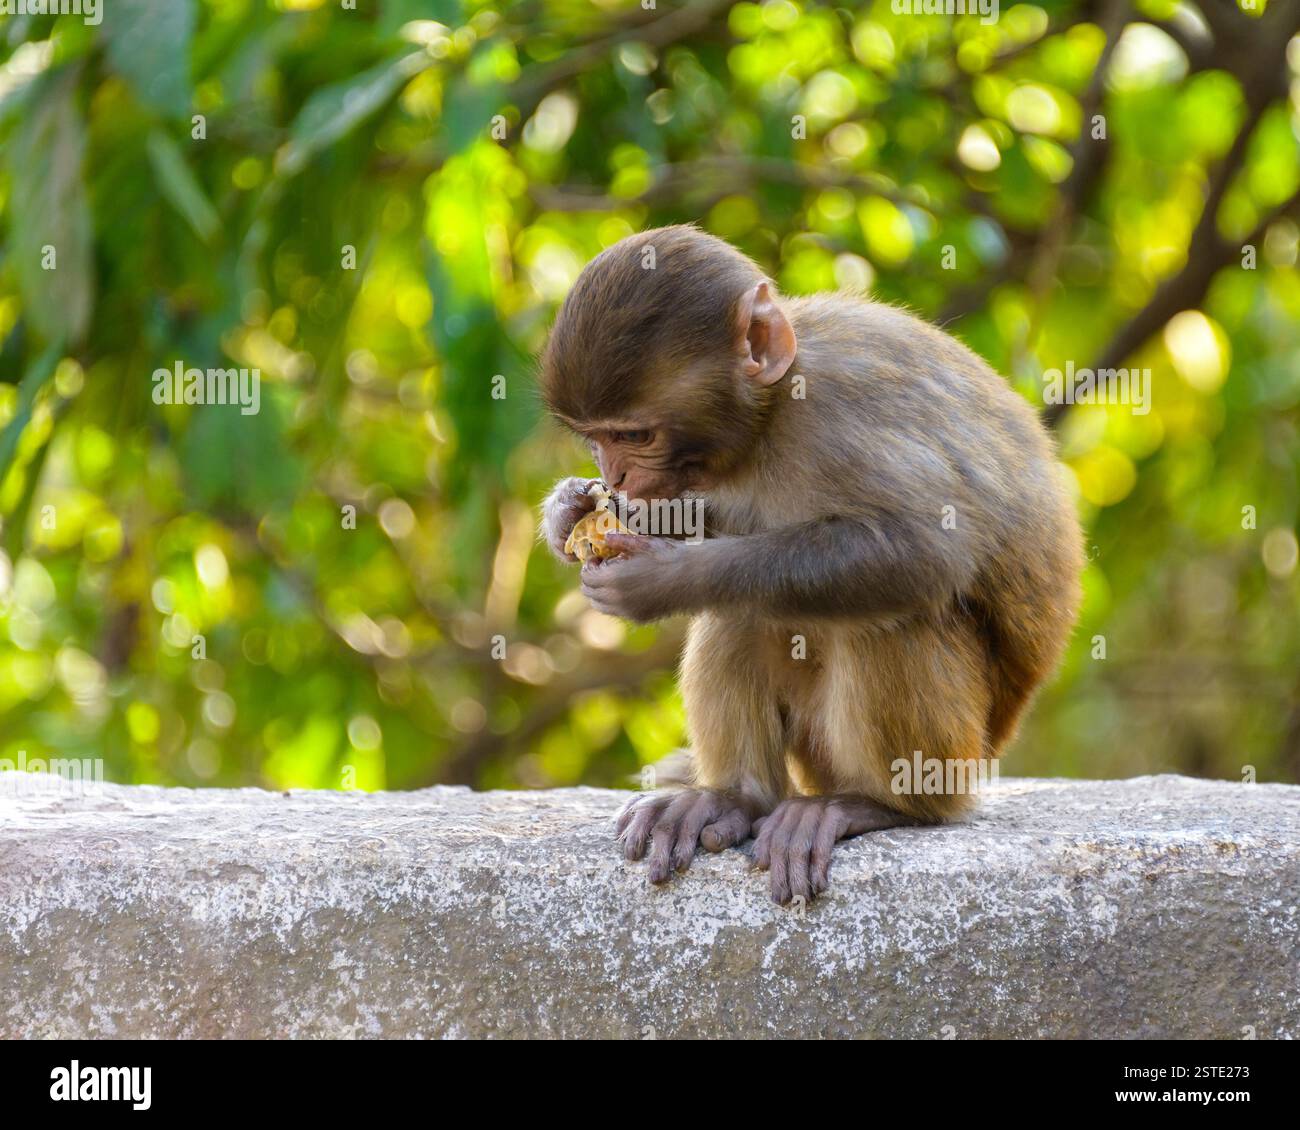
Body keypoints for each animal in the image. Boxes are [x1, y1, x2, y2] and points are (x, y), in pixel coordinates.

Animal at [538, 225, 1082, 904]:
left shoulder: (842, 410)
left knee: (893, 617)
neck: (773, 412)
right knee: (744, 615)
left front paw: (662, 581)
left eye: (634, 437)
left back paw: (877, 805)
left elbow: (927, 549)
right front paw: (570, 513)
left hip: (955, 755)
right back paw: (734, 798)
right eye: (596, 438)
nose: (613, 477)